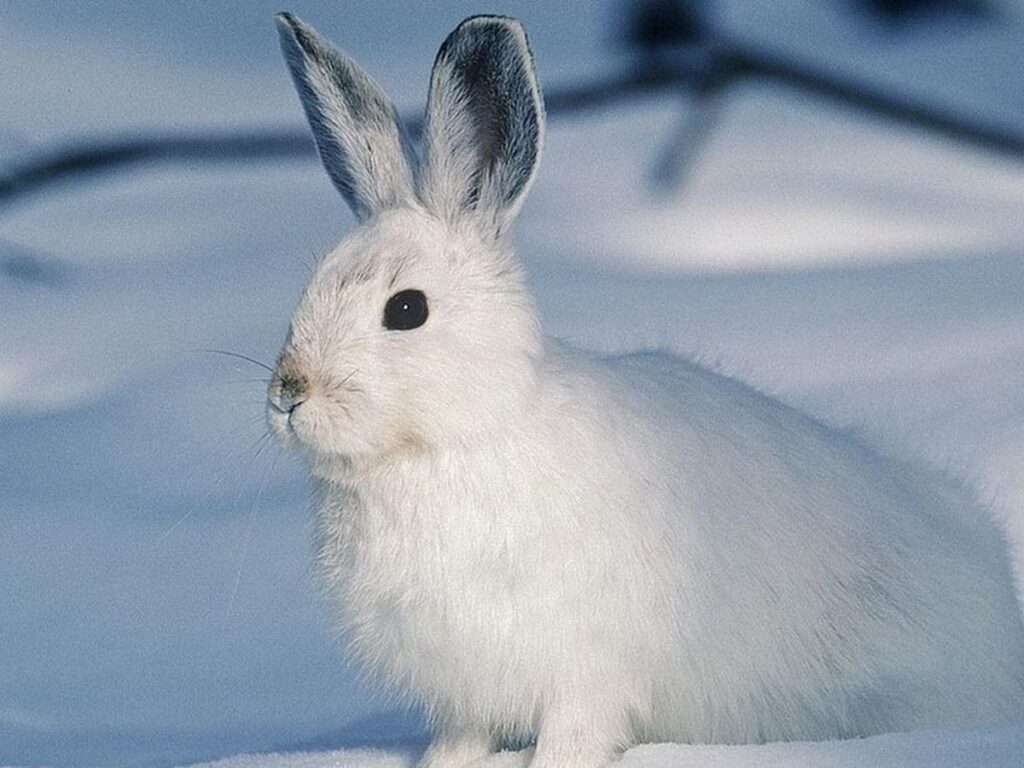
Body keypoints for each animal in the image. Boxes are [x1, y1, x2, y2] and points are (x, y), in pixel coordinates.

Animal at [268, 11, 1024, 768]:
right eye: (306, 291)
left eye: (406, 310)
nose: (289, 394)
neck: (459, 436)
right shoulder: (467, 691)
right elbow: (463, 737)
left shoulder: (585, 672)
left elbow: (574, 733)